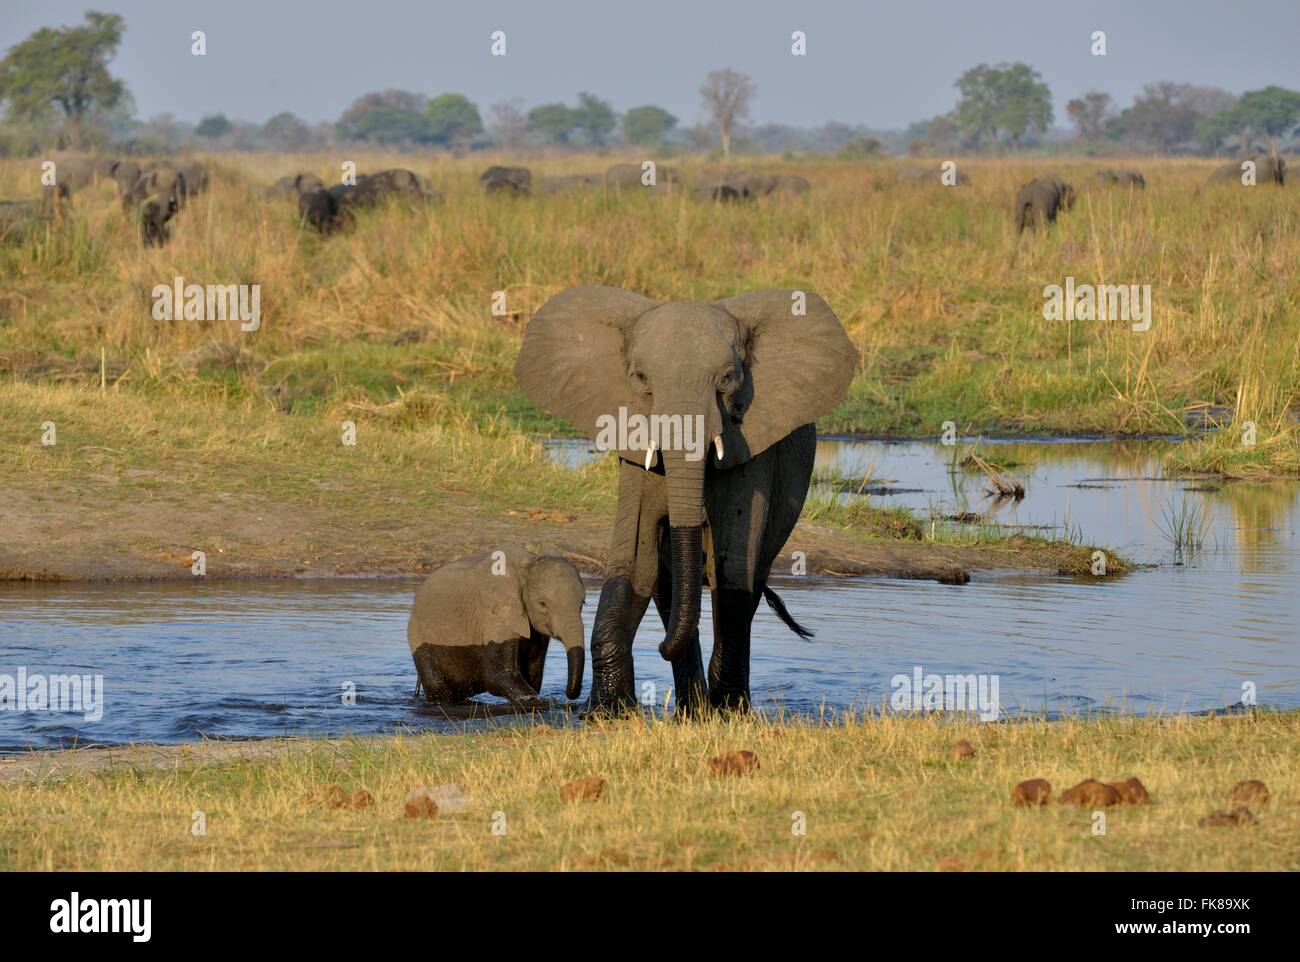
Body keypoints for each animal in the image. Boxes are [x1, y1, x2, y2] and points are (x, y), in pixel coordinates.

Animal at [407, 547, 586, 704]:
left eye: (583, 603)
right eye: (542, 604)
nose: (568, 694)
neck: (527, 565)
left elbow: (532, 674)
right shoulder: (494, 612)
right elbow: (497, 677)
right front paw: (538, 701)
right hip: (418, 633)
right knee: (439, 688)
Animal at [515, 286, 857, 714]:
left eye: (728, 378)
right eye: (640, 378)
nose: (659, 650)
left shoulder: (752, 449)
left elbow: (732, 566)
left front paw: (729, 711)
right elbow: (635, 559)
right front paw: (606, 711)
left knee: (747, 574)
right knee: (669, 587)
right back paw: (690, 708)